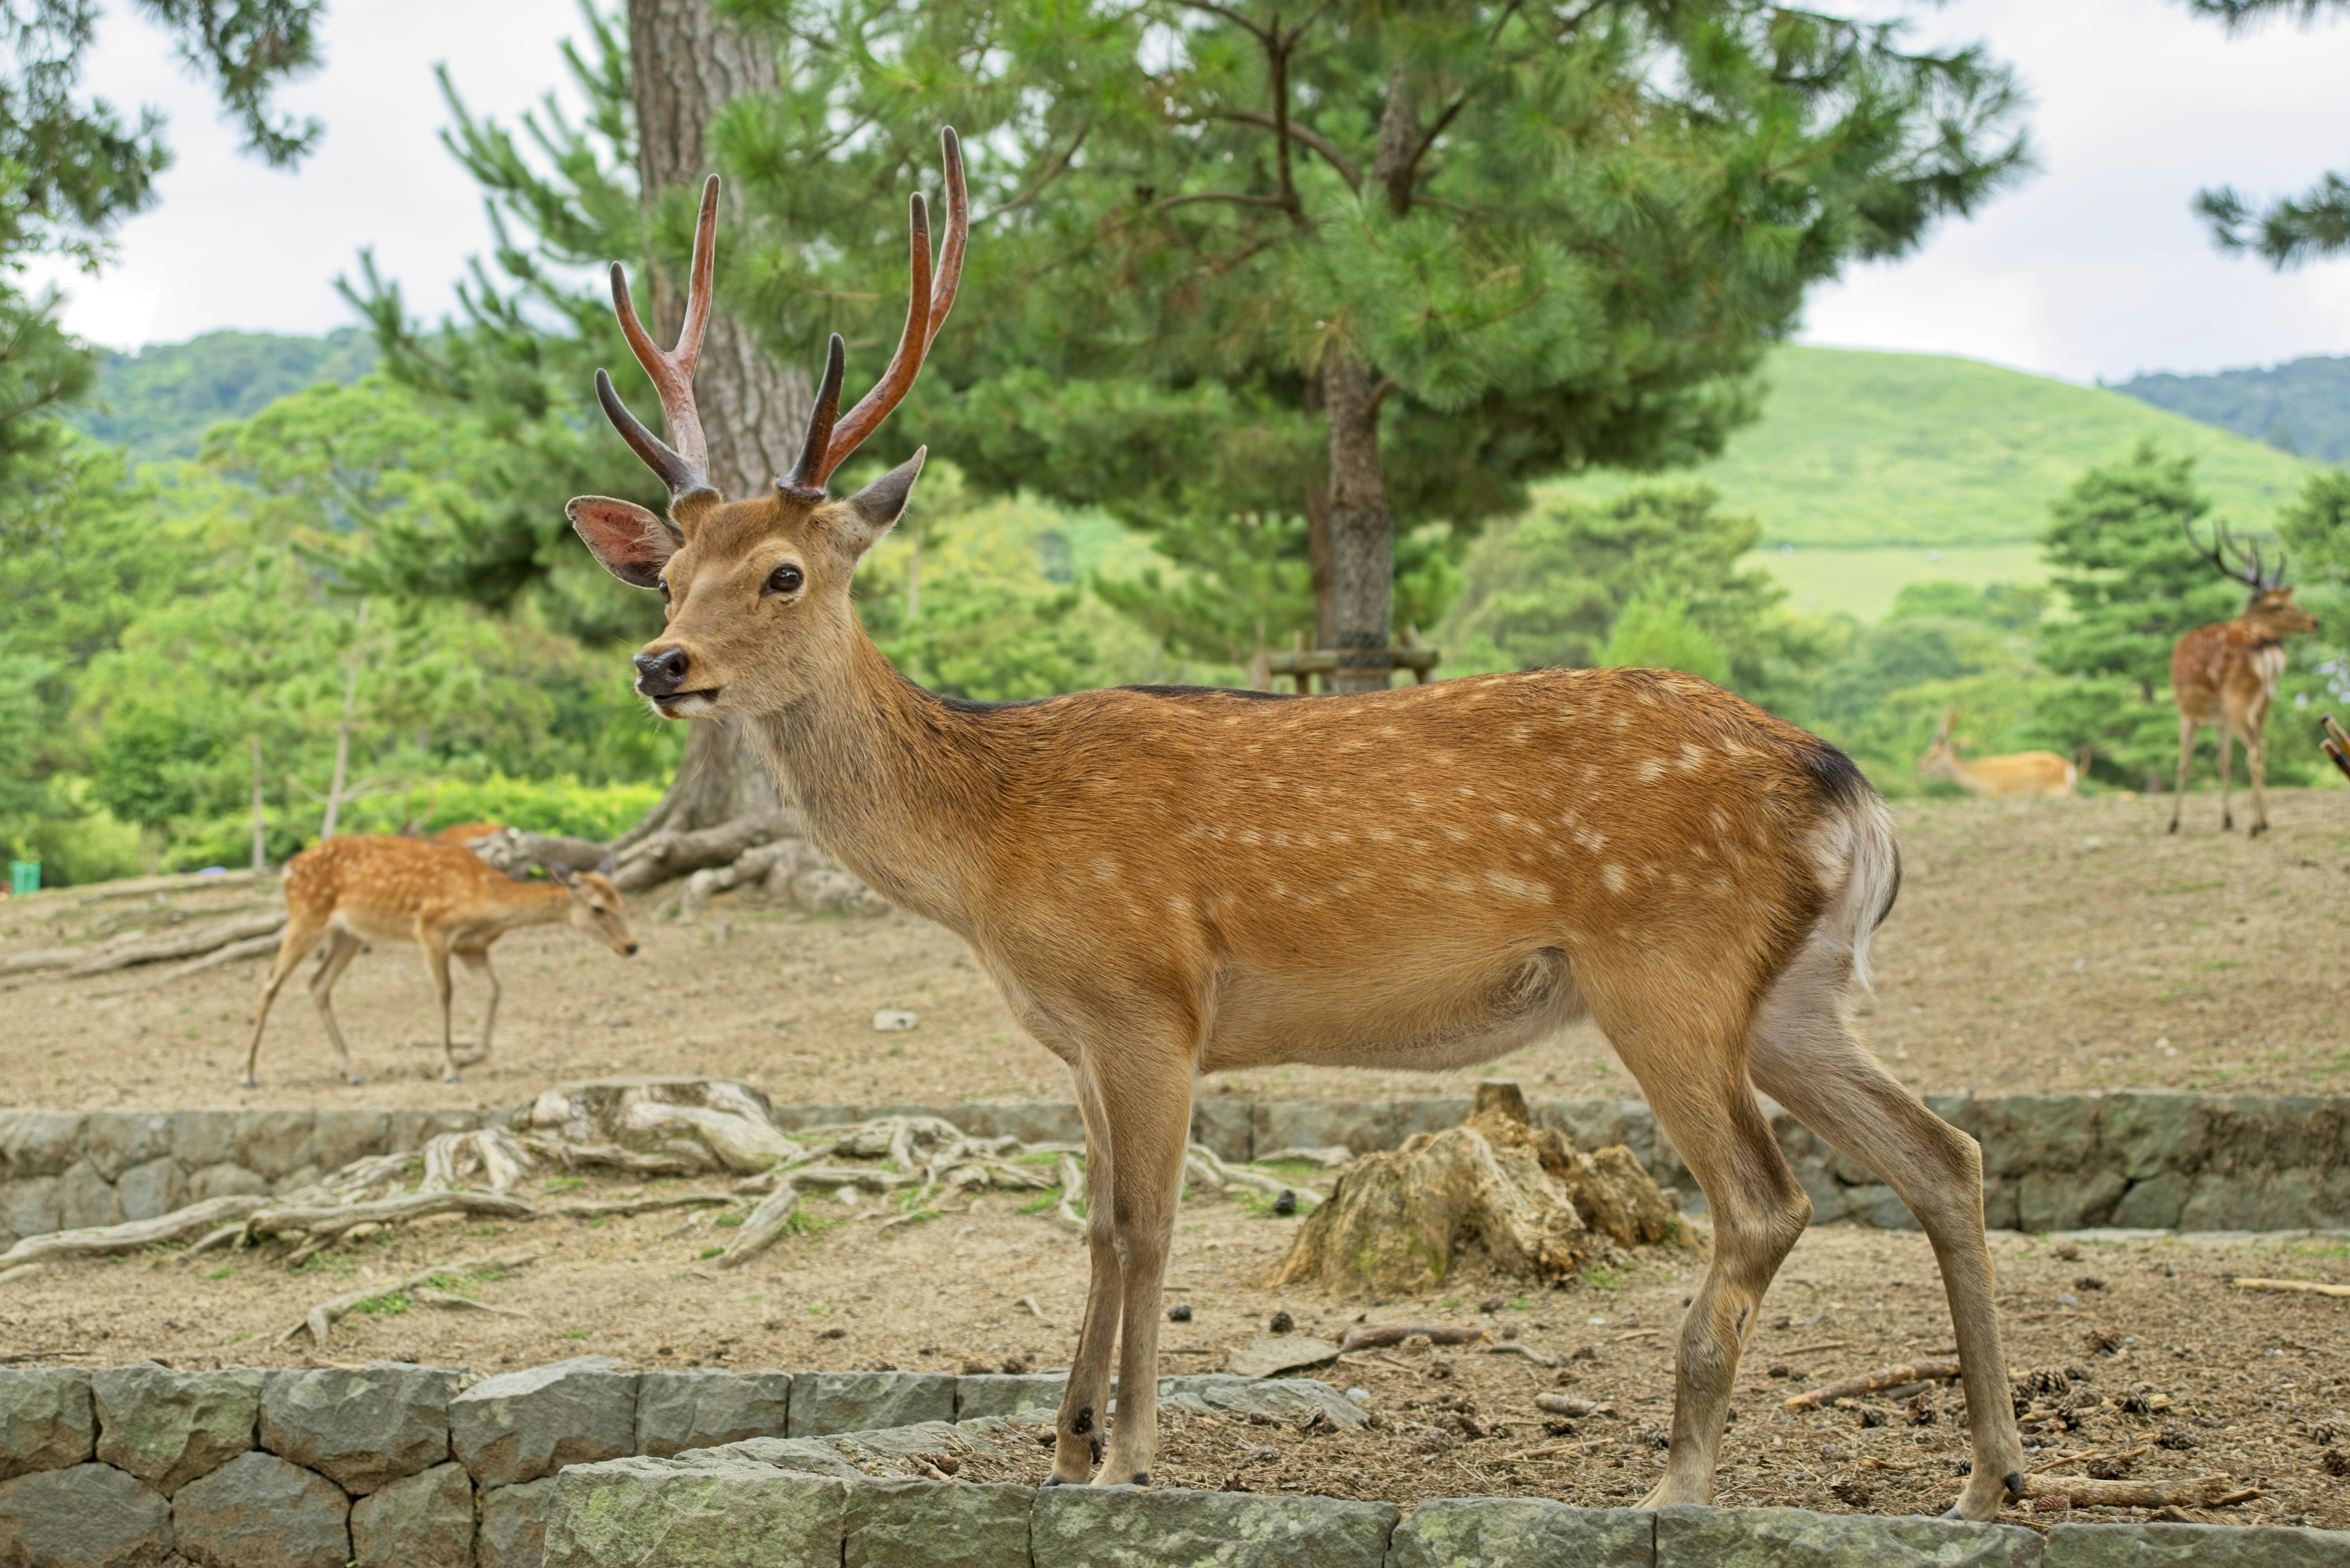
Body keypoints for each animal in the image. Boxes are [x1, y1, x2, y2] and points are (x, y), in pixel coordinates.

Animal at [244, 835, 636, 1088]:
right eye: (598, 908)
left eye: (620, 901)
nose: (631, 946)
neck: (486, 904)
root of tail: (286, 870)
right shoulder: (431, 929)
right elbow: (445, 993)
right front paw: (449, 1067)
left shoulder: (472, 948)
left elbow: (495, 991)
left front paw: (468, 1056)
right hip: (307, 914)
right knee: (271, 983)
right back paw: (249, 1074)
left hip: (349, 934)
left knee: (318, 984)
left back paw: (351, 1071)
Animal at [561, 130, 2024, 1520]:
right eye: (671, 574)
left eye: (782, 573)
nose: (660, 663)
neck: (986, 846)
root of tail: (1844, 786)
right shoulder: (1074, 1036)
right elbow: (1092, 1229)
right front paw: (1063, 1444)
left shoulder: (1150, 999)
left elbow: (1148, 1230)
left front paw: (1127, 1458)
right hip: (1788, 992)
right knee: (1944, 1154)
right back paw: (1988, 1475)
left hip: (1664, 963)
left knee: (1767, 1200)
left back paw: (1677, 1481)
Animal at [1917, 710, 2077, 798]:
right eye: (1929, 750)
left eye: (1934, 755)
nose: (1921, 765)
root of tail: (2069, 766)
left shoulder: (1995, 793)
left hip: (2056, 789)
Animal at [2168, 518, 2320, 837]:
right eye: (2277, 605)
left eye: (2285, 602)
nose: (2316, 621)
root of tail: (2265, 645)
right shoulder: (2222, 718)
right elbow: (2223, 762)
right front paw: (2226, 820)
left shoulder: (2186, 711)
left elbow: (2184, 763)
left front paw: (2172, 822)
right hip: (2263, 702)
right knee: (2262, 746)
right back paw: (2262, 820)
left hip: (2239, 697)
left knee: (2256, 749)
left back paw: (2254, 825)